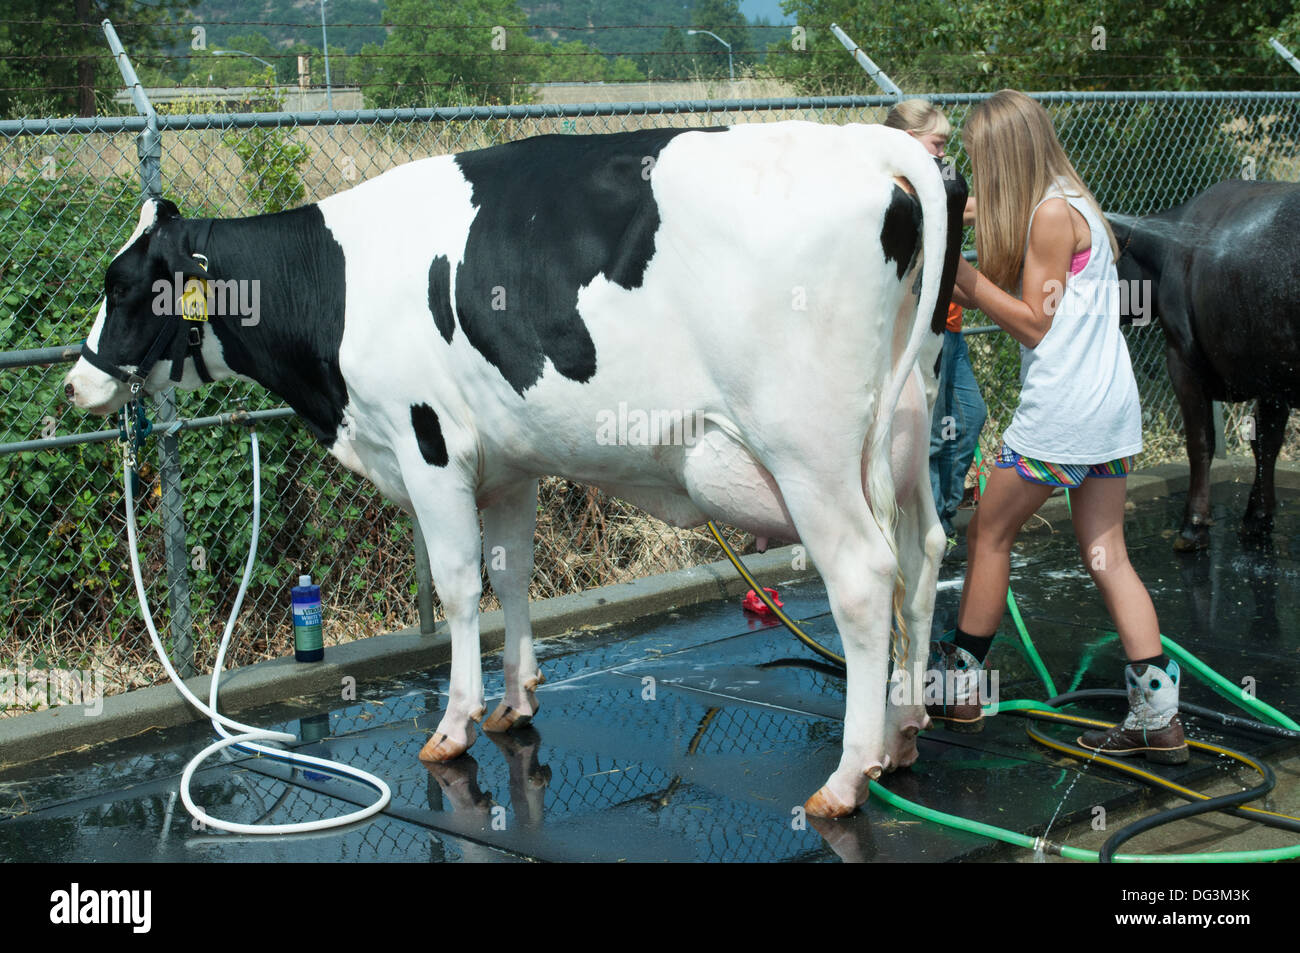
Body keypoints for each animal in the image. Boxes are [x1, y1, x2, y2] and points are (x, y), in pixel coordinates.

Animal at [64, 121, 966, 818]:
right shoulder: (507, 462)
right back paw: (905, 733)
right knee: (923, 555)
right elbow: (512, 572)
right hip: (906, 432)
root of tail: (873, 142)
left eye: (126, 284)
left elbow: (461, 586)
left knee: (862, 577)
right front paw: (515, 700)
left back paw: (848, 778)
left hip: (808, 451)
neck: (342, 284)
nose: (75, 381)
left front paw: (455, 722)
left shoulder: (426, 443)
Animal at [1110, 180, 1300, 552]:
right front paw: (1257, 519)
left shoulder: (1182, 359)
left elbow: (1200, 442)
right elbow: (1267, 443)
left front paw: (1192, 527)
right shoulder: (1272, 372)